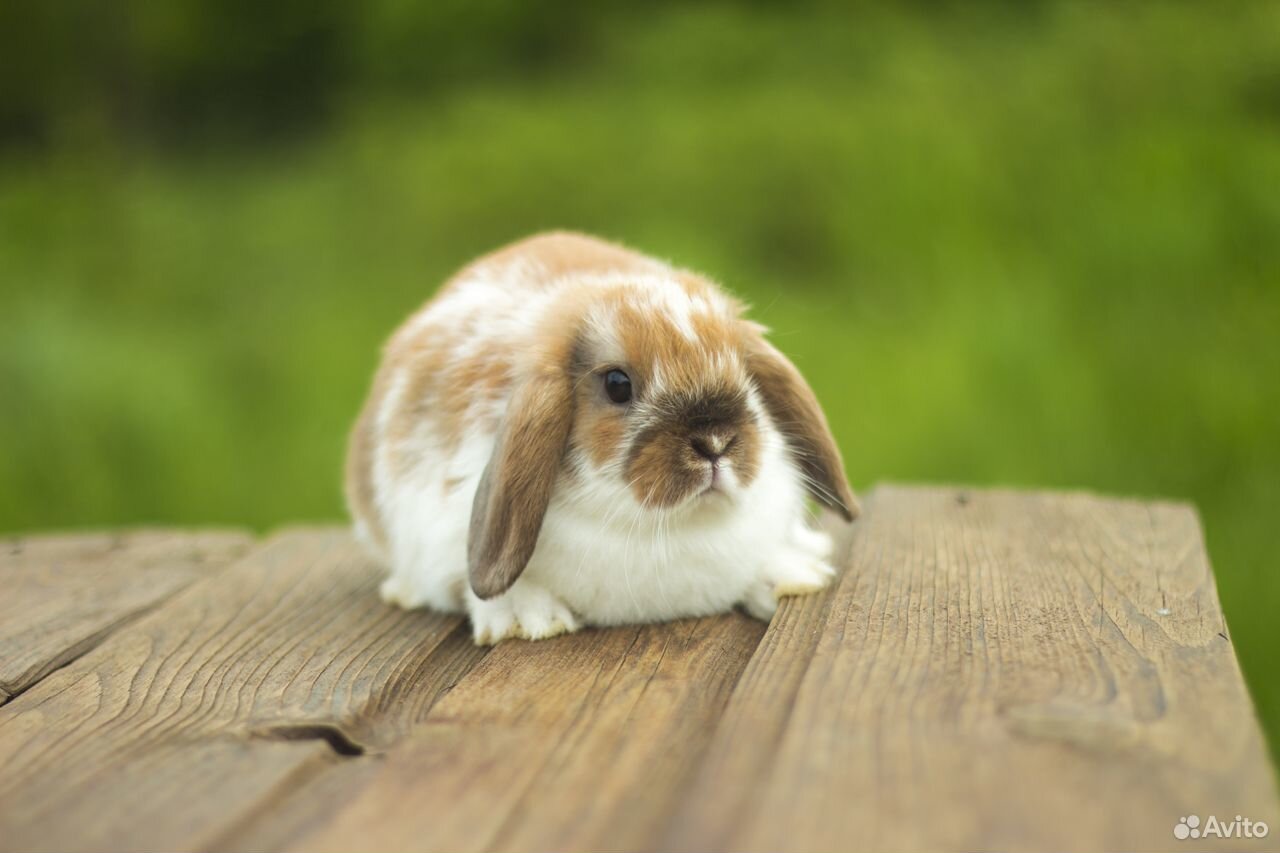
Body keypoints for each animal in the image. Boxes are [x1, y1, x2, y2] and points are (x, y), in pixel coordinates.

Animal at [345, 231, 859, 644]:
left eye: (746, 373)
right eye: (617, 384)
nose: (715, 442)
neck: (668, 530)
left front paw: (794, 577)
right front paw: (527, 620)